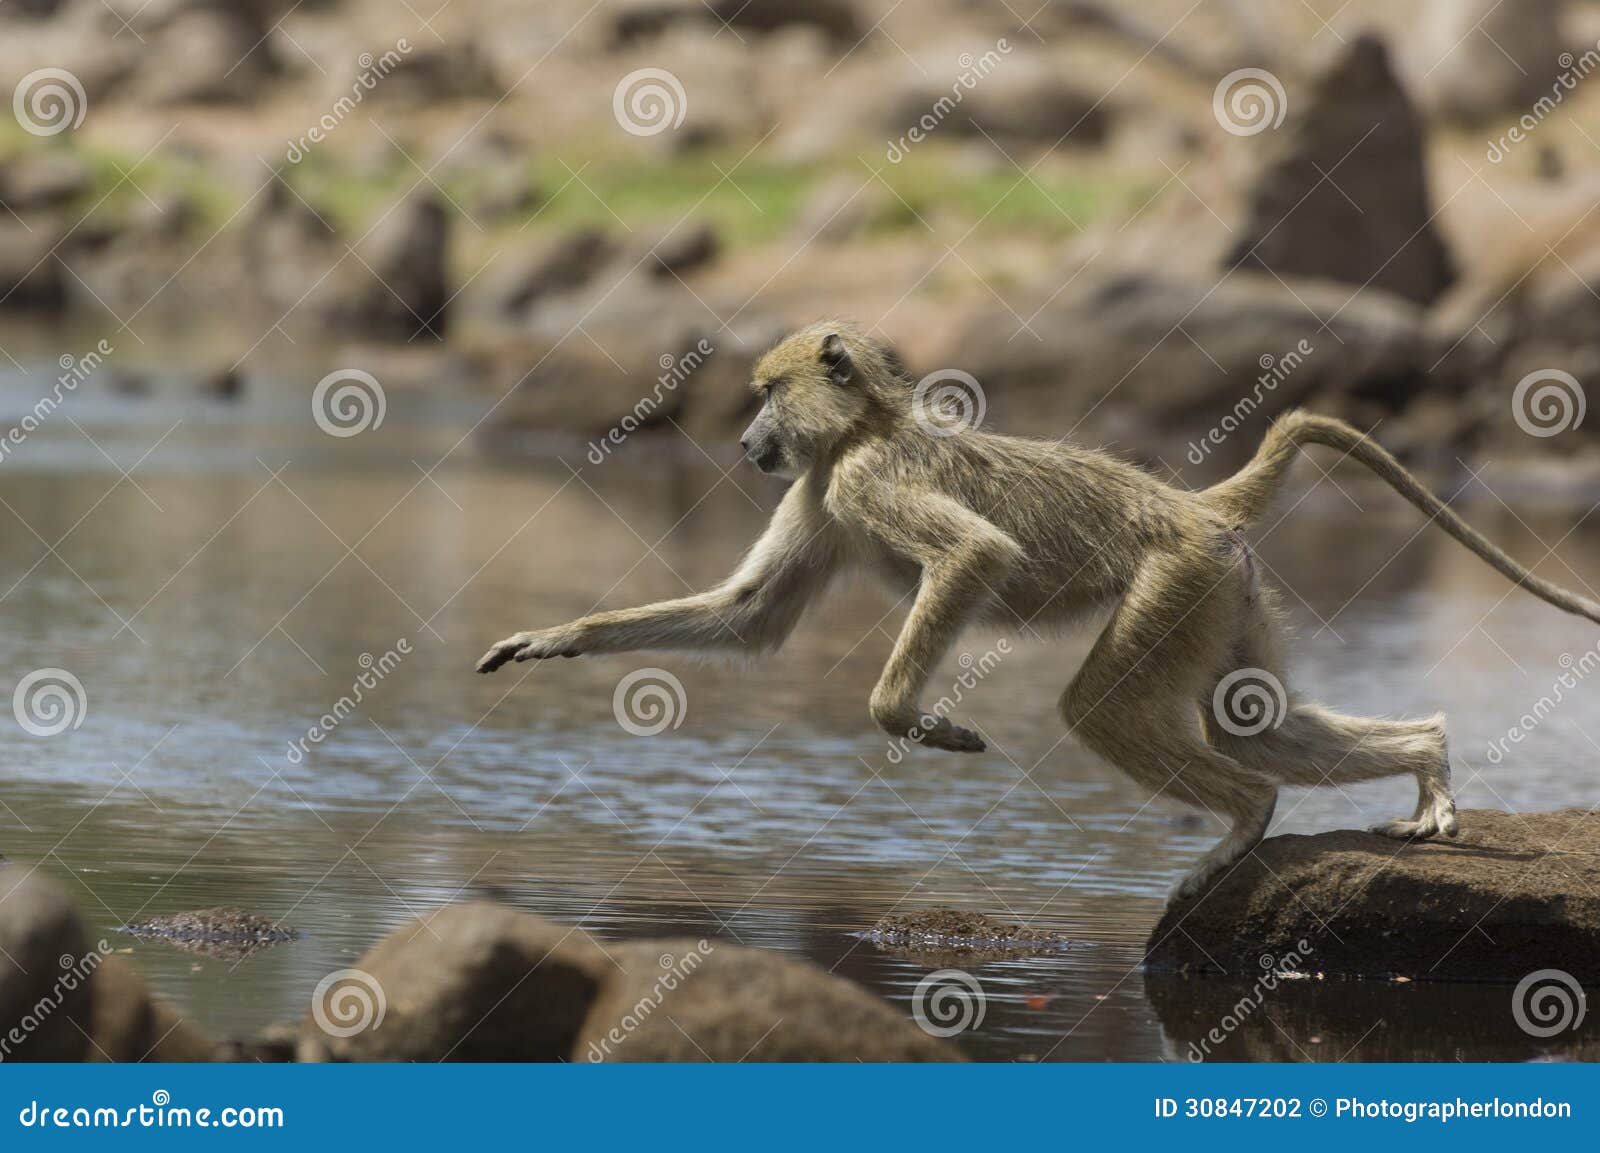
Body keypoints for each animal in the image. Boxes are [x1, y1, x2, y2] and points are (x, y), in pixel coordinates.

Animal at [478, 320, 1600, 899]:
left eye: (765, 393)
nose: (748, 442)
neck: (862, 428)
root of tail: (1195, 506)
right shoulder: (825, 489)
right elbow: (748, 615)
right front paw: (555, 639)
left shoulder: (864, 480)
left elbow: (976, 554)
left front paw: (921, 723)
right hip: (1225, 588)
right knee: (1259, 723)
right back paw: (1426, 761)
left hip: (1175, 580)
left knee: (1119, 716)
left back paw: (1244, 821)